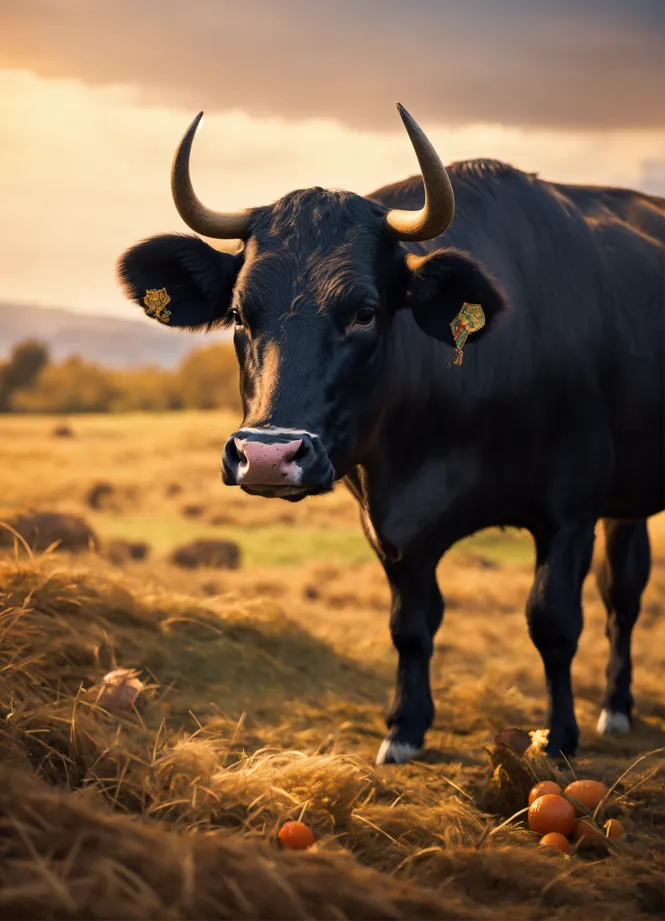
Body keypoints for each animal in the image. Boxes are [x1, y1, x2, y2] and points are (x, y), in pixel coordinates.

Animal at [118, 105, 664, 765]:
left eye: (365, 311)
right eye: (240, 313)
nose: (268, 457)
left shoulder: (569, 513)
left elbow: (552, 623)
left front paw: (558, 737)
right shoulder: (393, 529)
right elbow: (410, 628)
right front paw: (404, 728)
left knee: (619, 597)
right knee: (624, 590)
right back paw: (617, 704)